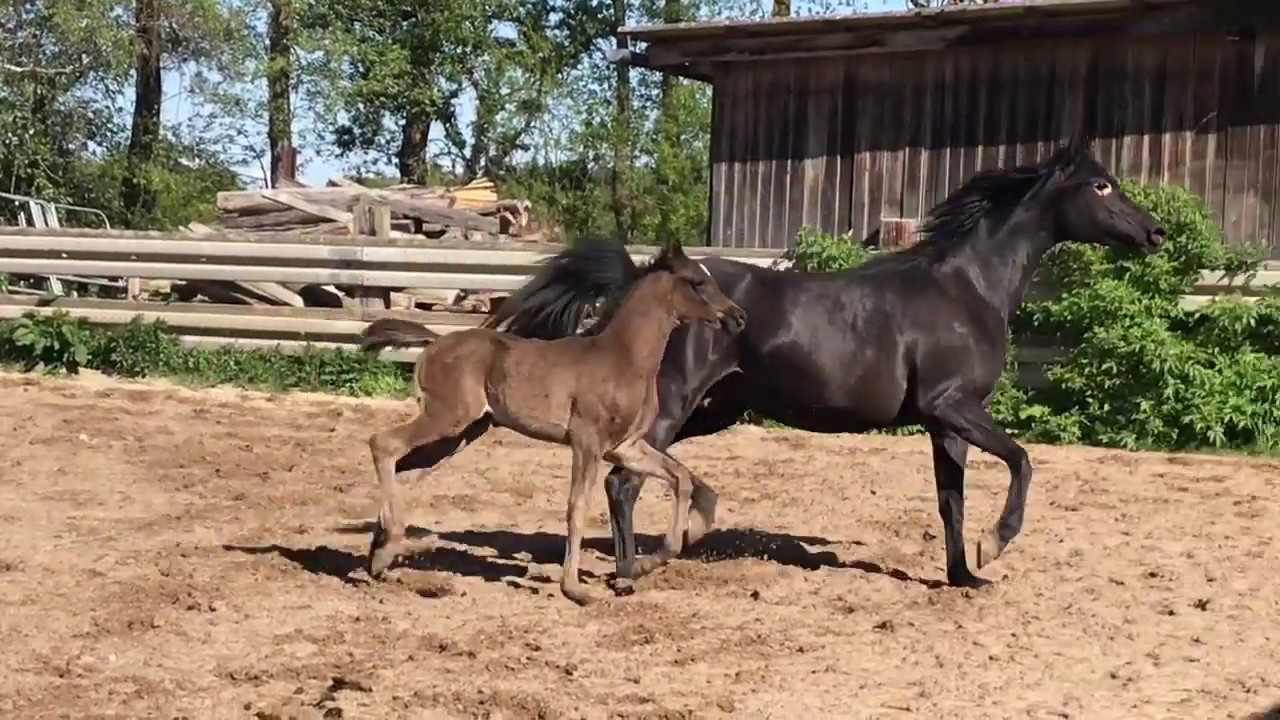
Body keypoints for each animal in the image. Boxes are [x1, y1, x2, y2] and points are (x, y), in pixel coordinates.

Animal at [357, 238, 746, 605]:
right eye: (697, 282)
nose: (738, 316)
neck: (623, 358)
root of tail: (433, 344)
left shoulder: (625, 446)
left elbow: (679, 477)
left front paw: (645, 564)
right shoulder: (587, 441)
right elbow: (577, 508)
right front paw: (574, 589)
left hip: (460, 435)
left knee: (404, 468)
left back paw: (384, 554)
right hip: (447, 418)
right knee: (383, 444)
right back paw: (395, 542)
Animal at [485, 138, 1166, 593]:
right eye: (1101, 186)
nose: (1156, 232)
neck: (966, 288)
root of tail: (646, 283)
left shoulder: (944, 424)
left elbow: (951, 500)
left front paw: (964, 577)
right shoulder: (952, 404)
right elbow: (1022, 461)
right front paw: (993, 547)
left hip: (713, 410)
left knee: (622, 475)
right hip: (674, 404)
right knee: (623, 481)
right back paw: (633, 573)